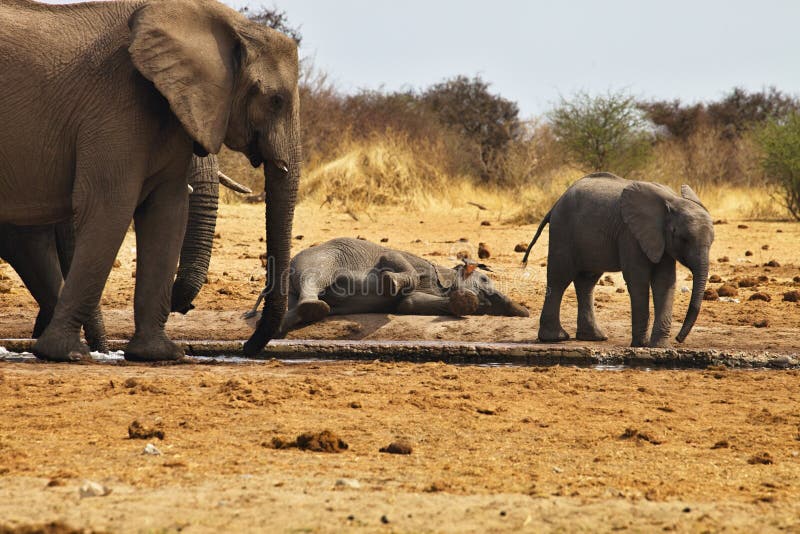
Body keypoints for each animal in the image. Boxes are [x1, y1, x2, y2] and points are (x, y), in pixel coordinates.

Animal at [246, 238, 530, 335]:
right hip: (316, 258)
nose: (525, 312)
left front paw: (466, 303)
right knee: (315, 276)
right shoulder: (406, 259)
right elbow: (394, 261)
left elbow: (408, 303)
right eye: (484, 280)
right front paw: (388, 281)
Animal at [522, 172, 714, 348]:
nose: (679, 339)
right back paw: (555, 338)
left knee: (586, 282)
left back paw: (594, 337)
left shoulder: (662, 242)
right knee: (559, 278)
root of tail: (556, 203)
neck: (673, 201)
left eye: (712, 241)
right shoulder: (631, 233)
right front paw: (641, 344)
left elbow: (665, 282)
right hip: (563, 230)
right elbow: (638, 280)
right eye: (683, 239)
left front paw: (660, 347)